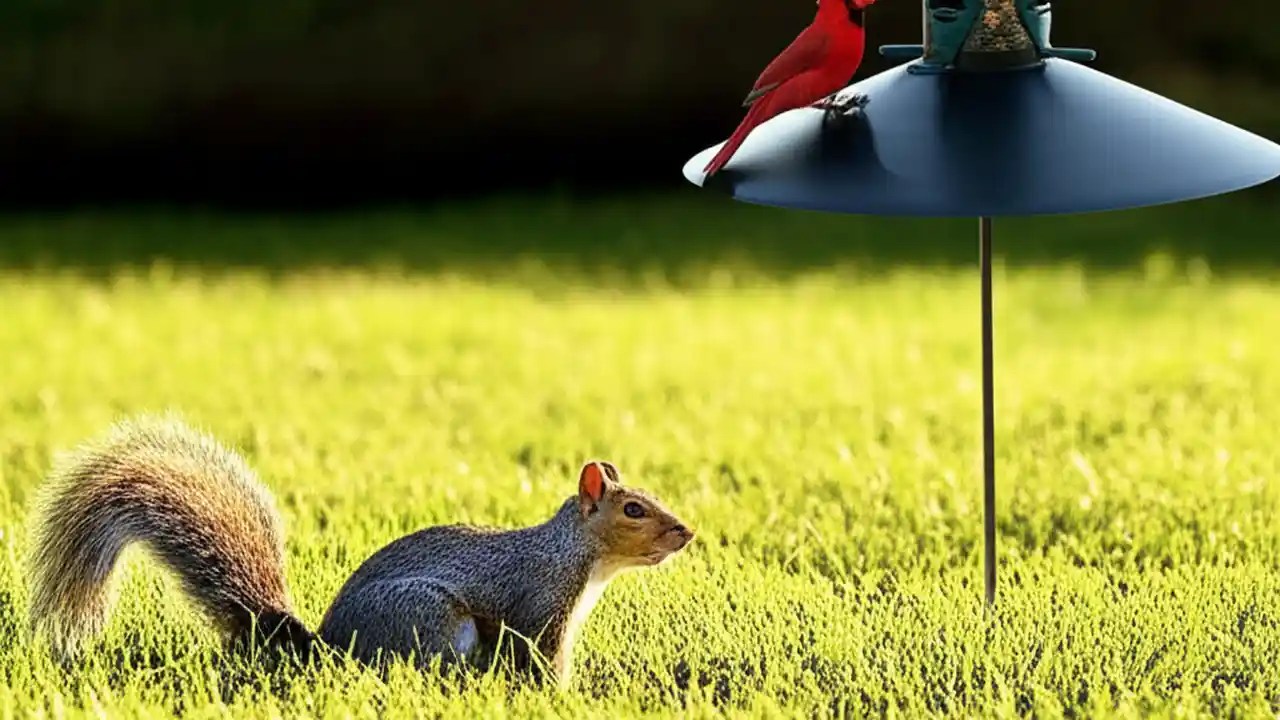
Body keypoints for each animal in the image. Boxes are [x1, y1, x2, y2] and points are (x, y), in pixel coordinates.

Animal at [27, 415, 694, 686]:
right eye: (634, 510)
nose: (685, 533)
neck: (575, 557)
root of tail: (327, 651)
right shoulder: (538, 607)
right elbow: (541, 662)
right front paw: (564, 697)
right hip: (432, 621)